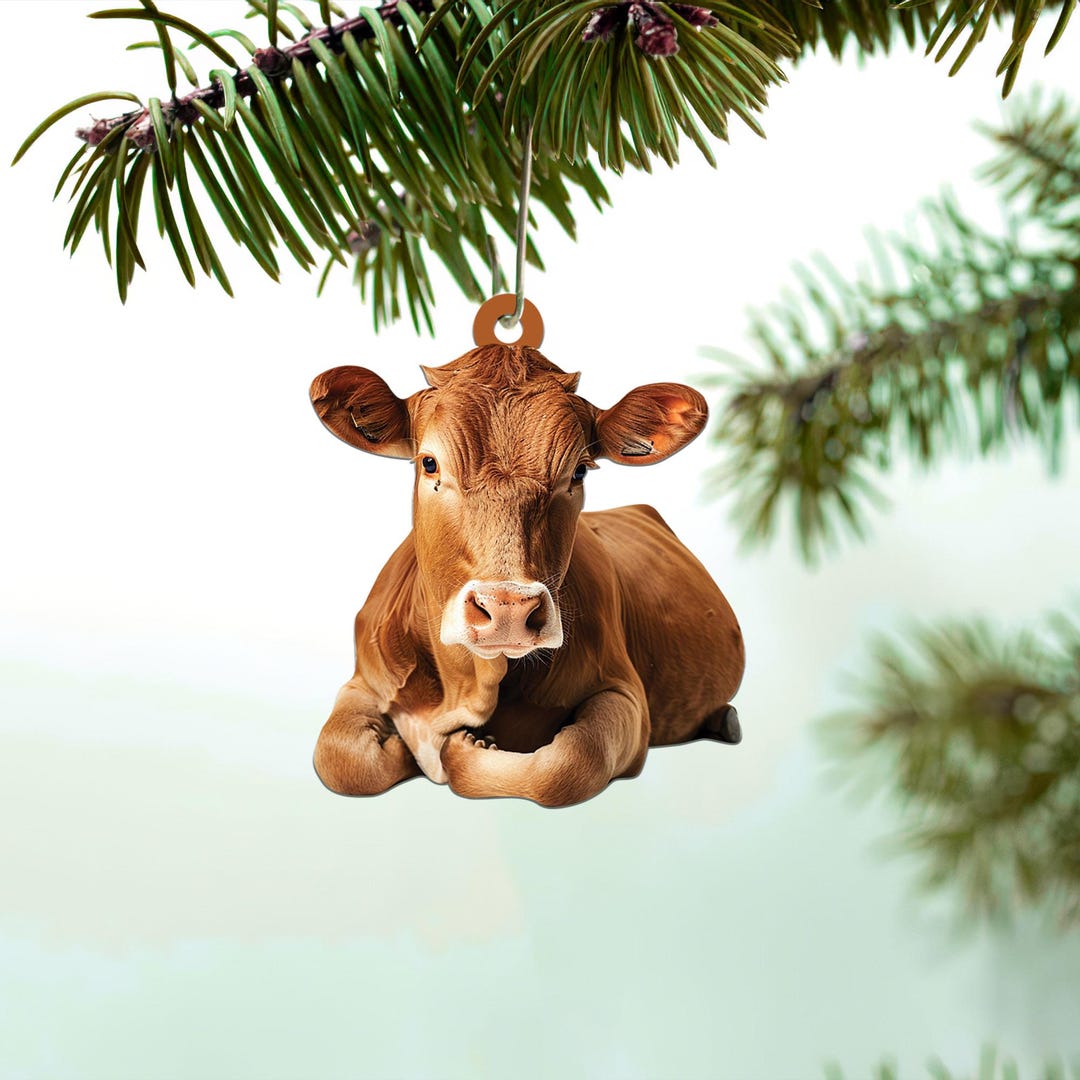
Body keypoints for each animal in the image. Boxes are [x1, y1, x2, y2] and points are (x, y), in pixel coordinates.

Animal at [310, 343, 745, 807]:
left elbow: (565, 764)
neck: (470, 685)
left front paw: (459, 749)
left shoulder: (624, 692)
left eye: (579, 471)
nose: (508, 609)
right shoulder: (364, 682)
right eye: (429, 463)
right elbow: (342, 759)